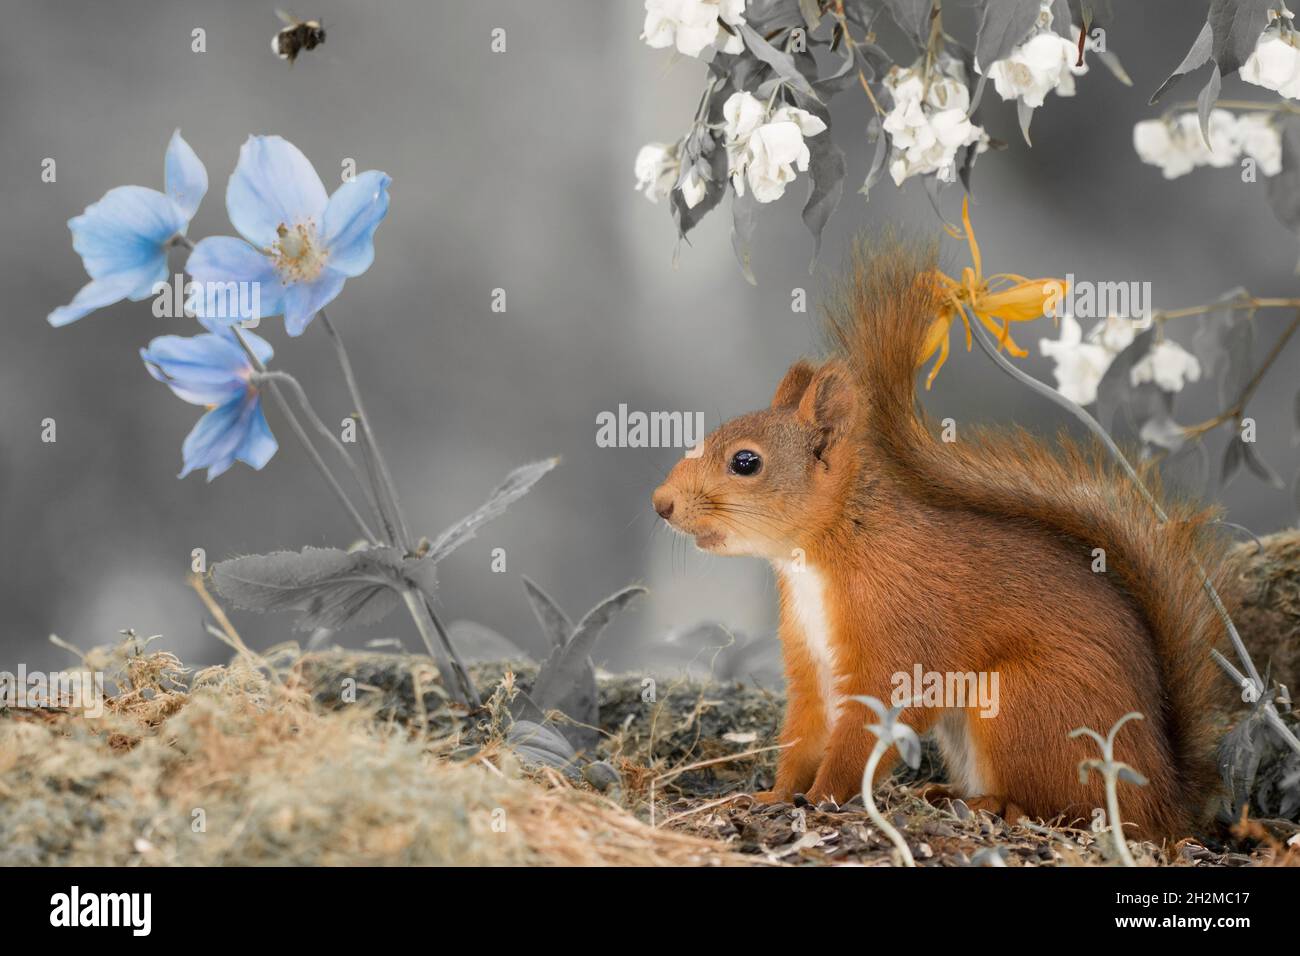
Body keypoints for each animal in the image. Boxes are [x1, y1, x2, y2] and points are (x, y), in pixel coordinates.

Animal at [651, 240, 1230, 841]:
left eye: (746, 462)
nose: (660, 502)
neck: (826, 549)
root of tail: (1167, 806)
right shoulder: (810, 661)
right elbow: (805, 732)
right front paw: (776, 793)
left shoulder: (899, 638)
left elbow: (869, 728)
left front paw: (824, 798)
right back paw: (948, 793)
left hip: (1025, 704)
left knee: (1067, 808)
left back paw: (996, 806)